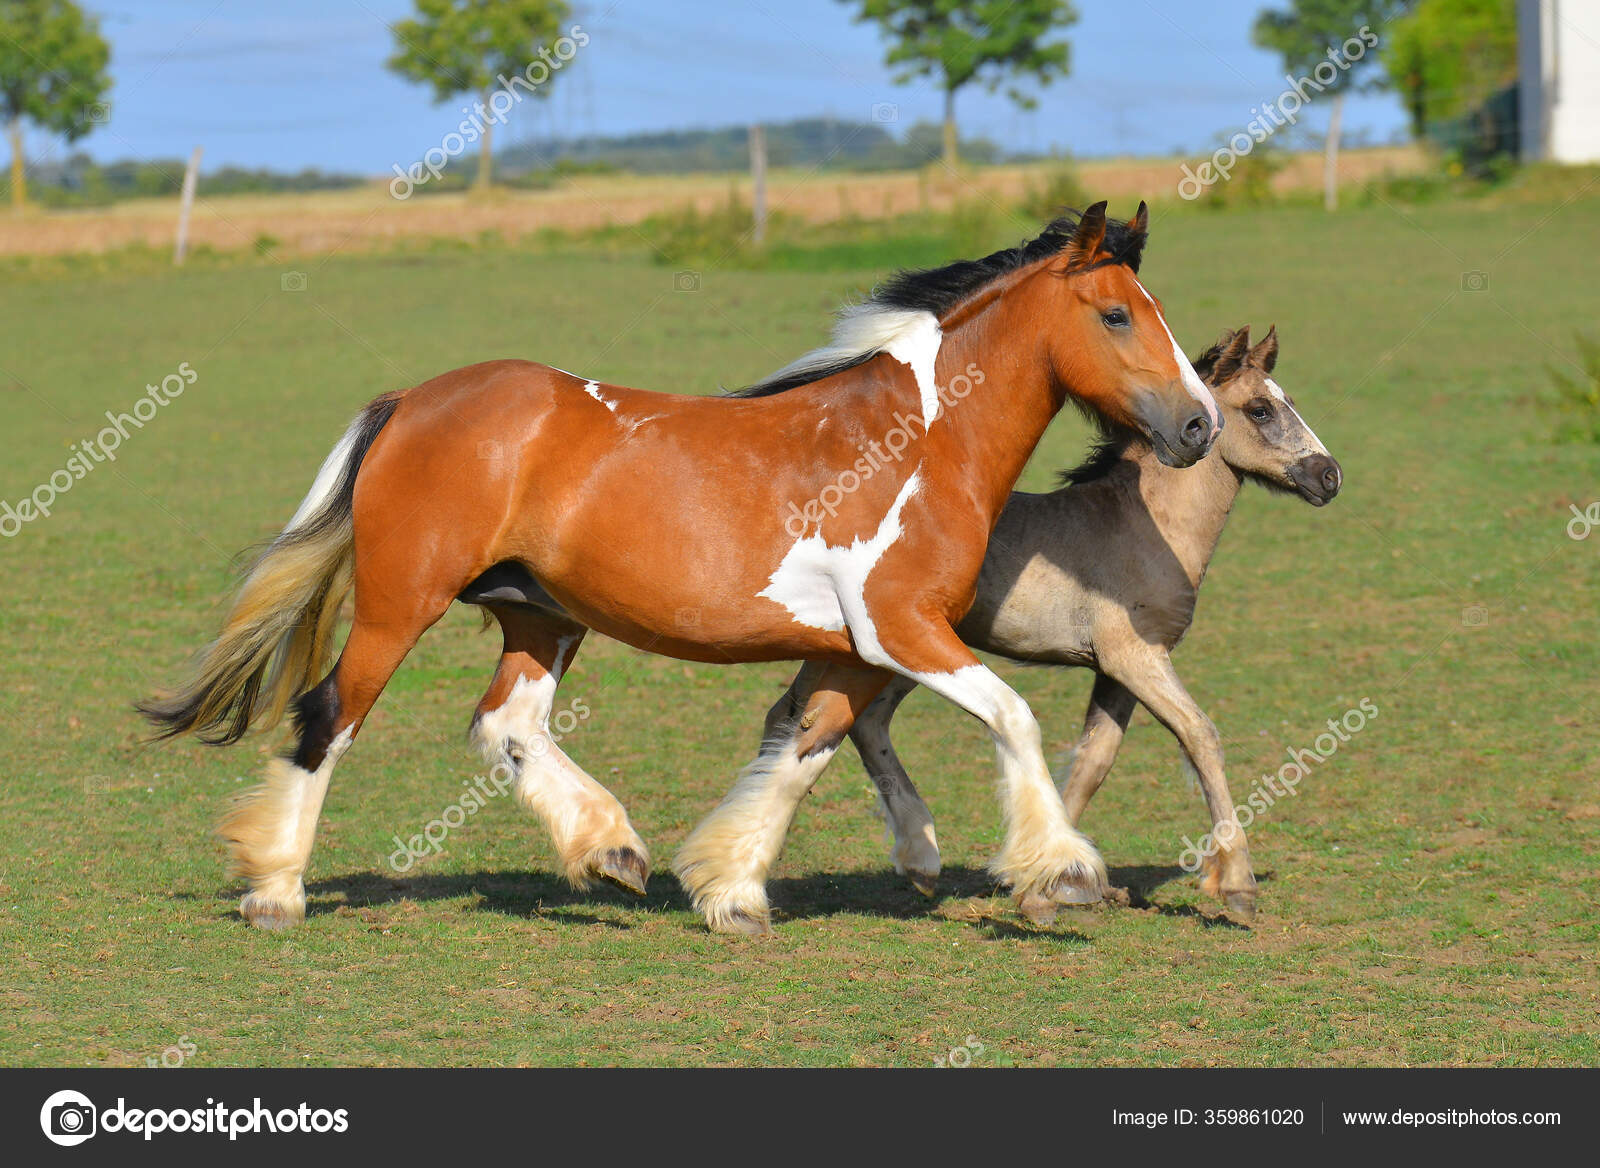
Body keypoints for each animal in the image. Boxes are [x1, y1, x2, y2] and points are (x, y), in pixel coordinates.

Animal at [140, 201, 1219, 933]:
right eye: (1116, 315)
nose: (1199, 425)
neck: (917, 441)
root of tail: (413, 399)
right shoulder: (903, 630)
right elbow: (1014, 718)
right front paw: (1063, 870)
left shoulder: (855, 648)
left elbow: (805, 748)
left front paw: (732, 887)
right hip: (401, 607)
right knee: (330, 716)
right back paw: (277, 890)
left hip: (543, 616)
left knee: (507, 725)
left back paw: (610, 849)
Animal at [760, 325, 1341, 924]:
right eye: (1260, 410)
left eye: (1288, 401)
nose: (1329, 476)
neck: (1144, 528)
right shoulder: (1136, 658)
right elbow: (1200, 735)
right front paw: (1237, 887)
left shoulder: (1115, 672)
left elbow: (1092, 761)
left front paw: (1052, 882)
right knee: (830, 718)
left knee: (827, 717)